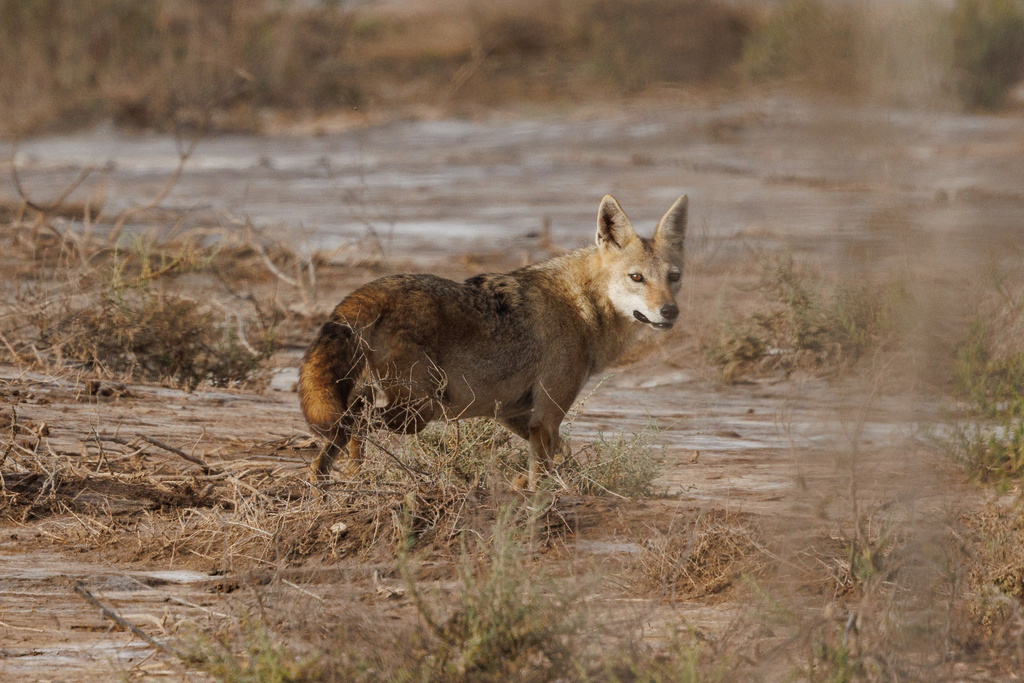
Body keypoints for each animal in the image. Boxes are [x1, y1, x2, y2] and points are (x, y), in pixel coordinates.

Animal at [299, 194, 688, 487]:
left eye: (674, 277)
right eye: (636, 278)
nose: (670, 311)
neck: (582, 306)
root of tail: (366, 292)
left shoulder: (514, 414)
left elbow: (561, 457)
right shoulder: (545, 417)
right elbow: (546, 468)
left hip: (392, 405)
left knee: (337, 440)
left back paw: (336, 483)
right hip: (417, 413)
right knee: (355, 423)